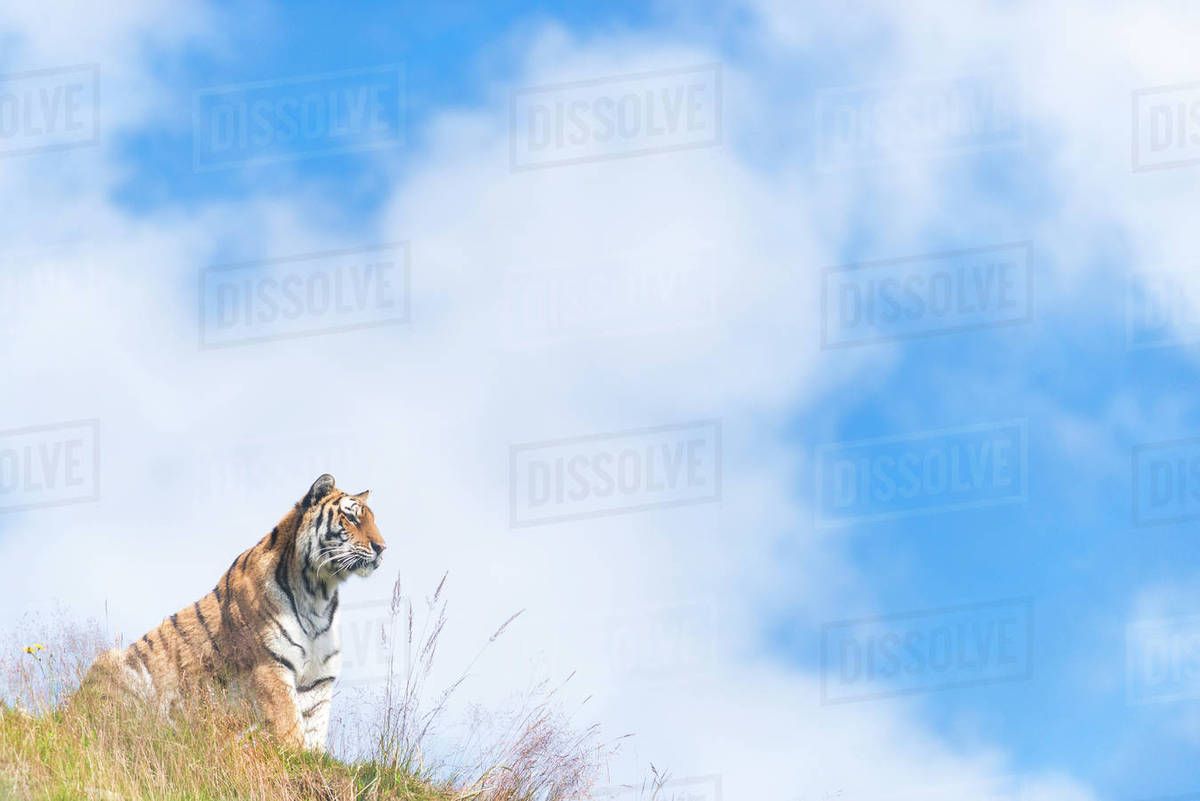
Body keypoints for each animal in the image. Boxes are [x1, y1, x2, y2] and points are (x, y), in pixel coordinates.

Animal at [80, 473, 386, 752]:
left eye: (372, 520)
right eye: (351, 519)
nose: (382, 548)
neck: (319, 594)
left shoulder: (318, 682)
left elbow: (314, 733)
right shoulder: (270, 666)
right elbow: (289, 724)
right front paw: (295, 753)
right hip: (113, 664)